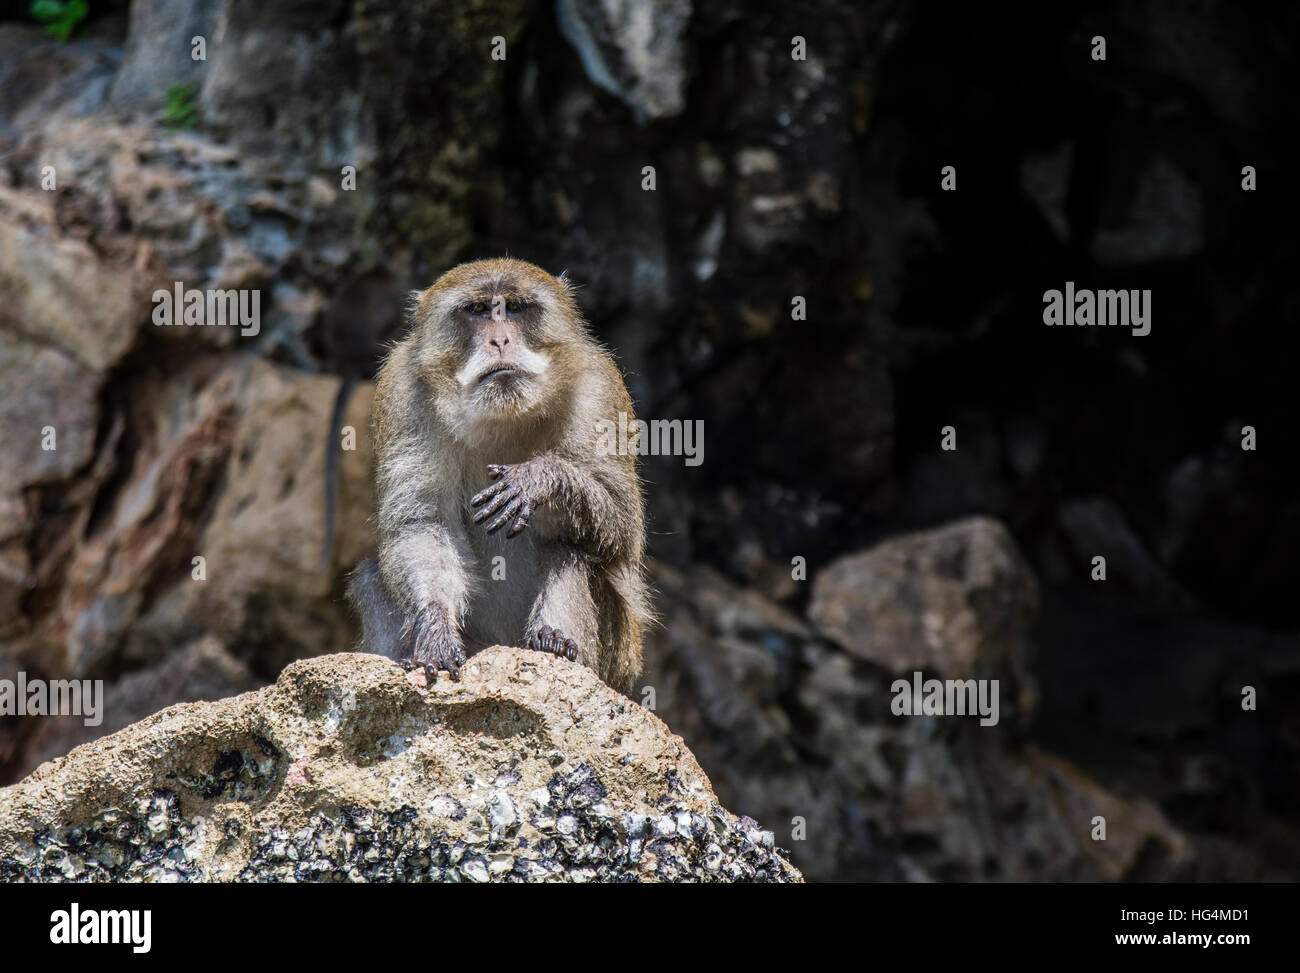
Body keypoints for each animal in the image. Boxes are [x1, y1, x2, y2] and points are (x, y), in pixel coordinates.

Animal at [346, 257, 651, 694]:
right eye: (477, 311)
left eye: (516, 308)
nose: (500, 341)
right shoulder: (403, 393)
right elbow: (421, 523)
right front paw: (435, 628)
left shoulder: (600, 386)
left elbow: (623, 524)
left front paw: (538, 479)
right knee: (373, 576)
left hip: (618, 658)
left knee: (569, 546)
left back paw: (553, 644)